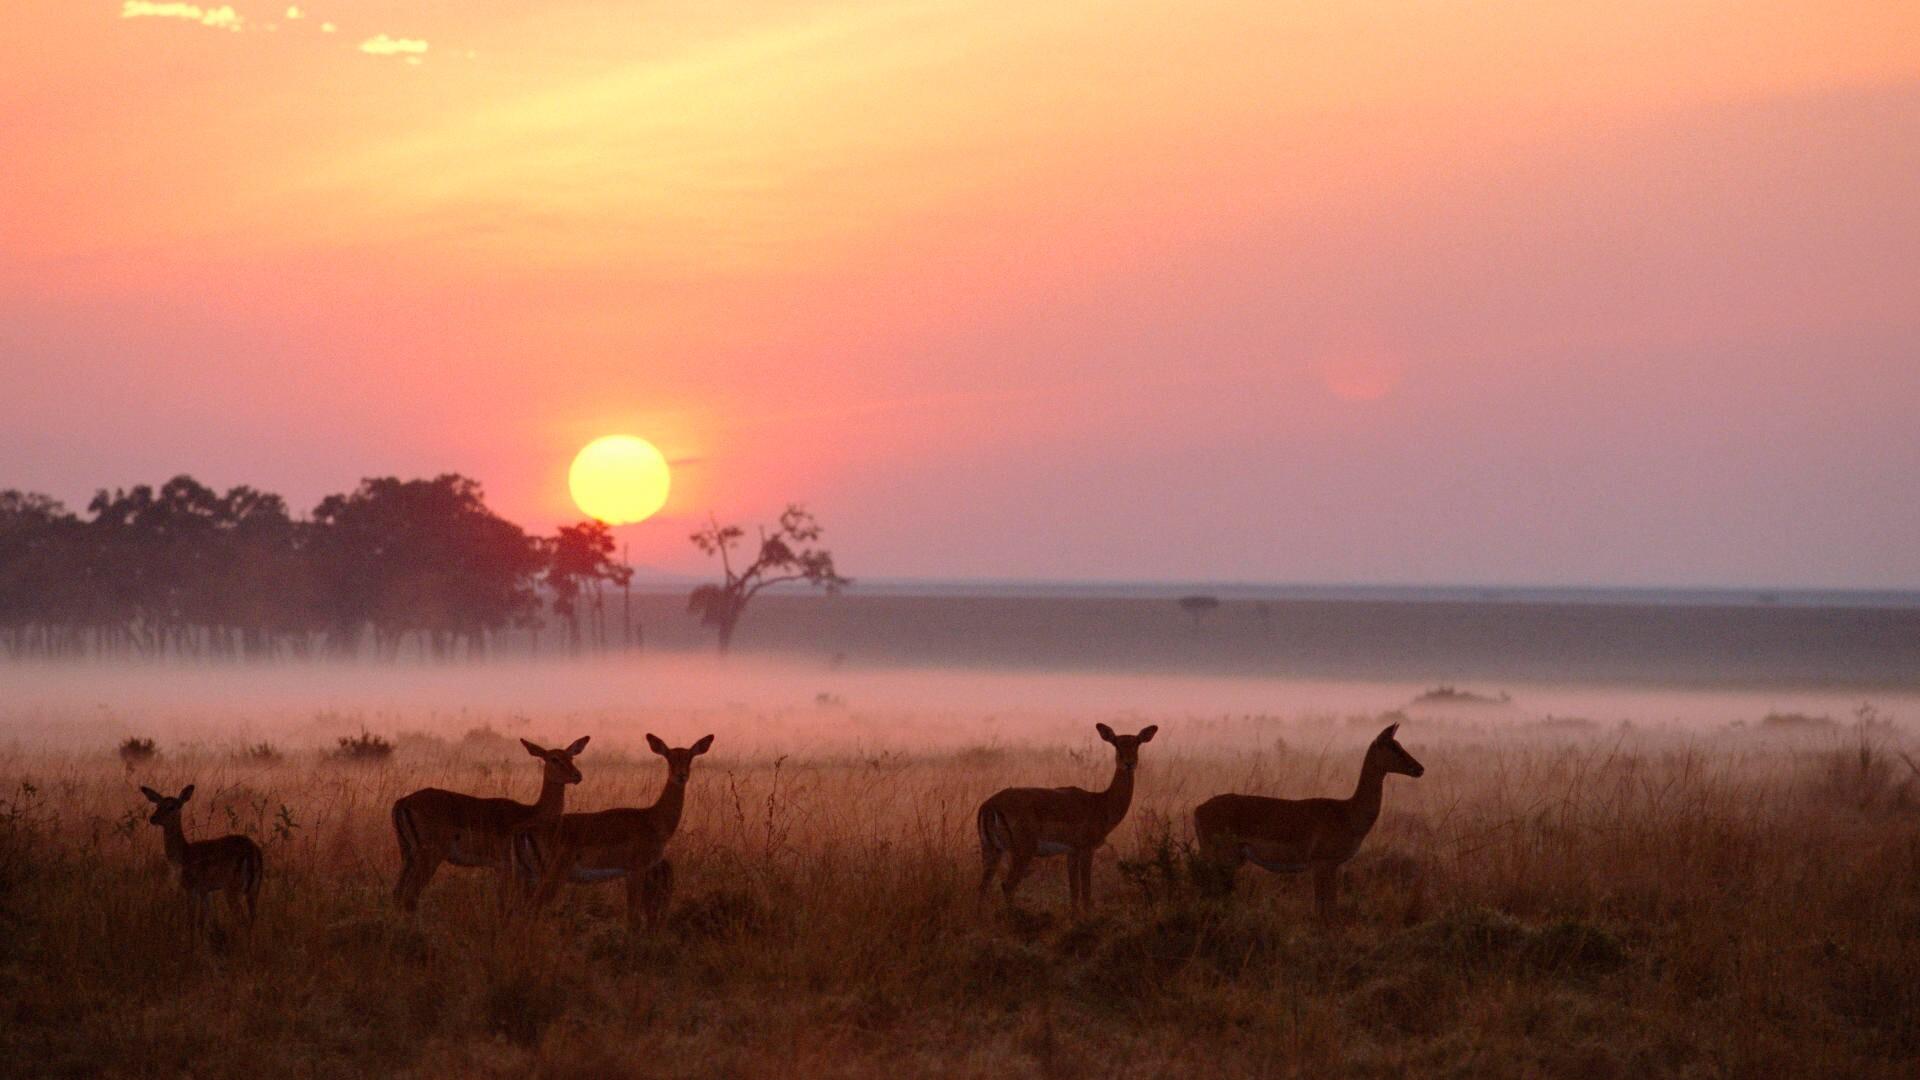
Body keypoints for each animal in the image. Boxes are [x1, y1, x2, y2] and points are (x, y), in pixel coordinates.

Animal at [140, 784, 263, 940]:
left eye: (171, 807)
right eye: (157, 805)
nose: (153, 818)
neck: (183, 854)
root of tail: (253, 852)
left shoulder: (191, 887)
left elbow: (192, 920)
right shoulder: (206, 890)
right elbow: (204, 921)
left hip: (232, 889)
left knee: (243, 921)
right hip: (253, 890)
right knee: (253, 920)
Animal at [390, 736, 589, 913]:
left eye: (571, 757)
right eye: (554, 759)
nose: (577, 775)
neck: (531, 812)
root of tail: (402, 802)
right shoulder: (507, 868)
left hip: (408, 855)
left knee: (398, 893)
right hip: (429, 856)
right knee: (409, 896)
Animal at [514, 734, 714, 931]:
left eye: (689, 757)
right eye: (669, 757)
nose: (681, 775)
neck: (652, 819)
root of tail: (527, 832)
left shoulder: (630, 874)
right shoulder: (636, 871)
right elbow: (633, 919)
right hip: (553, 876)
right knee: (531, 909)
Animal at [976, 723, 1158, 914]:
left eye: (1137, 743)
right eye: (1116, 744)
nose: (1129, 763)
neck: (1101, 803)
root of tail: (990, 805)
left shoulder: (1071, 852)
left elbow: (1074, 892)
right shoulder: (1086, 849)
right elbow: (1085, 892)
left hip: (991, 849)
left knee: (983, 886)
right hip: (1022, 852)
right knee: (1007, 886)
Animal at [1193, 722, 1423, 921]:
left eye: (1399, 744)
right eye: (1393, 746)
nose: (1419, 768)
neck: (1347, 813)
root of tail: (1198, 809)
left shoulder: (1331, 867)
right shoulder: (1321, 864)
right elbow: (1323, 909)